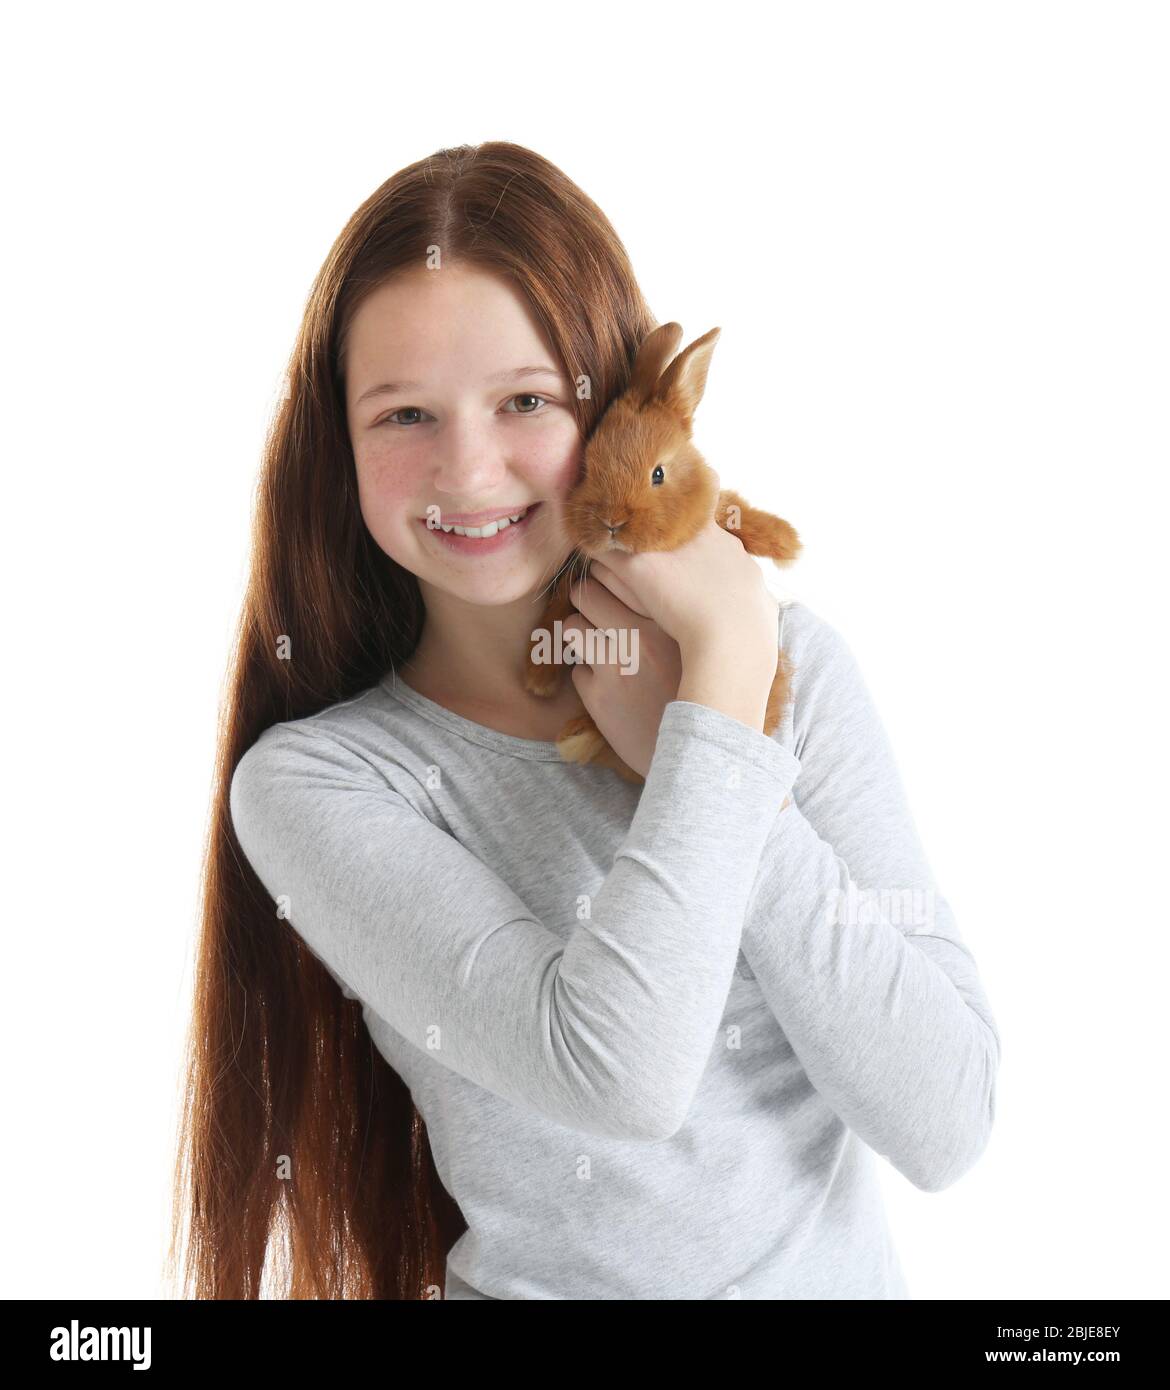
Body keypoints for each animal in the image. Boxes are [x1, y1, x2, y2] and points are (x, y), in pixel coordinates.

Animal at [523, 321, 802, 784]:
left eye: (658, 474)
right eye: (587, 468)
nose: (613, 522)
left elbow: (738, 512)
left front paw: (788, 542)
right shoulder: (576, 581)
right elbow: (555, 616)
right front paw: (537, 679)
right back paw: (577, 736)